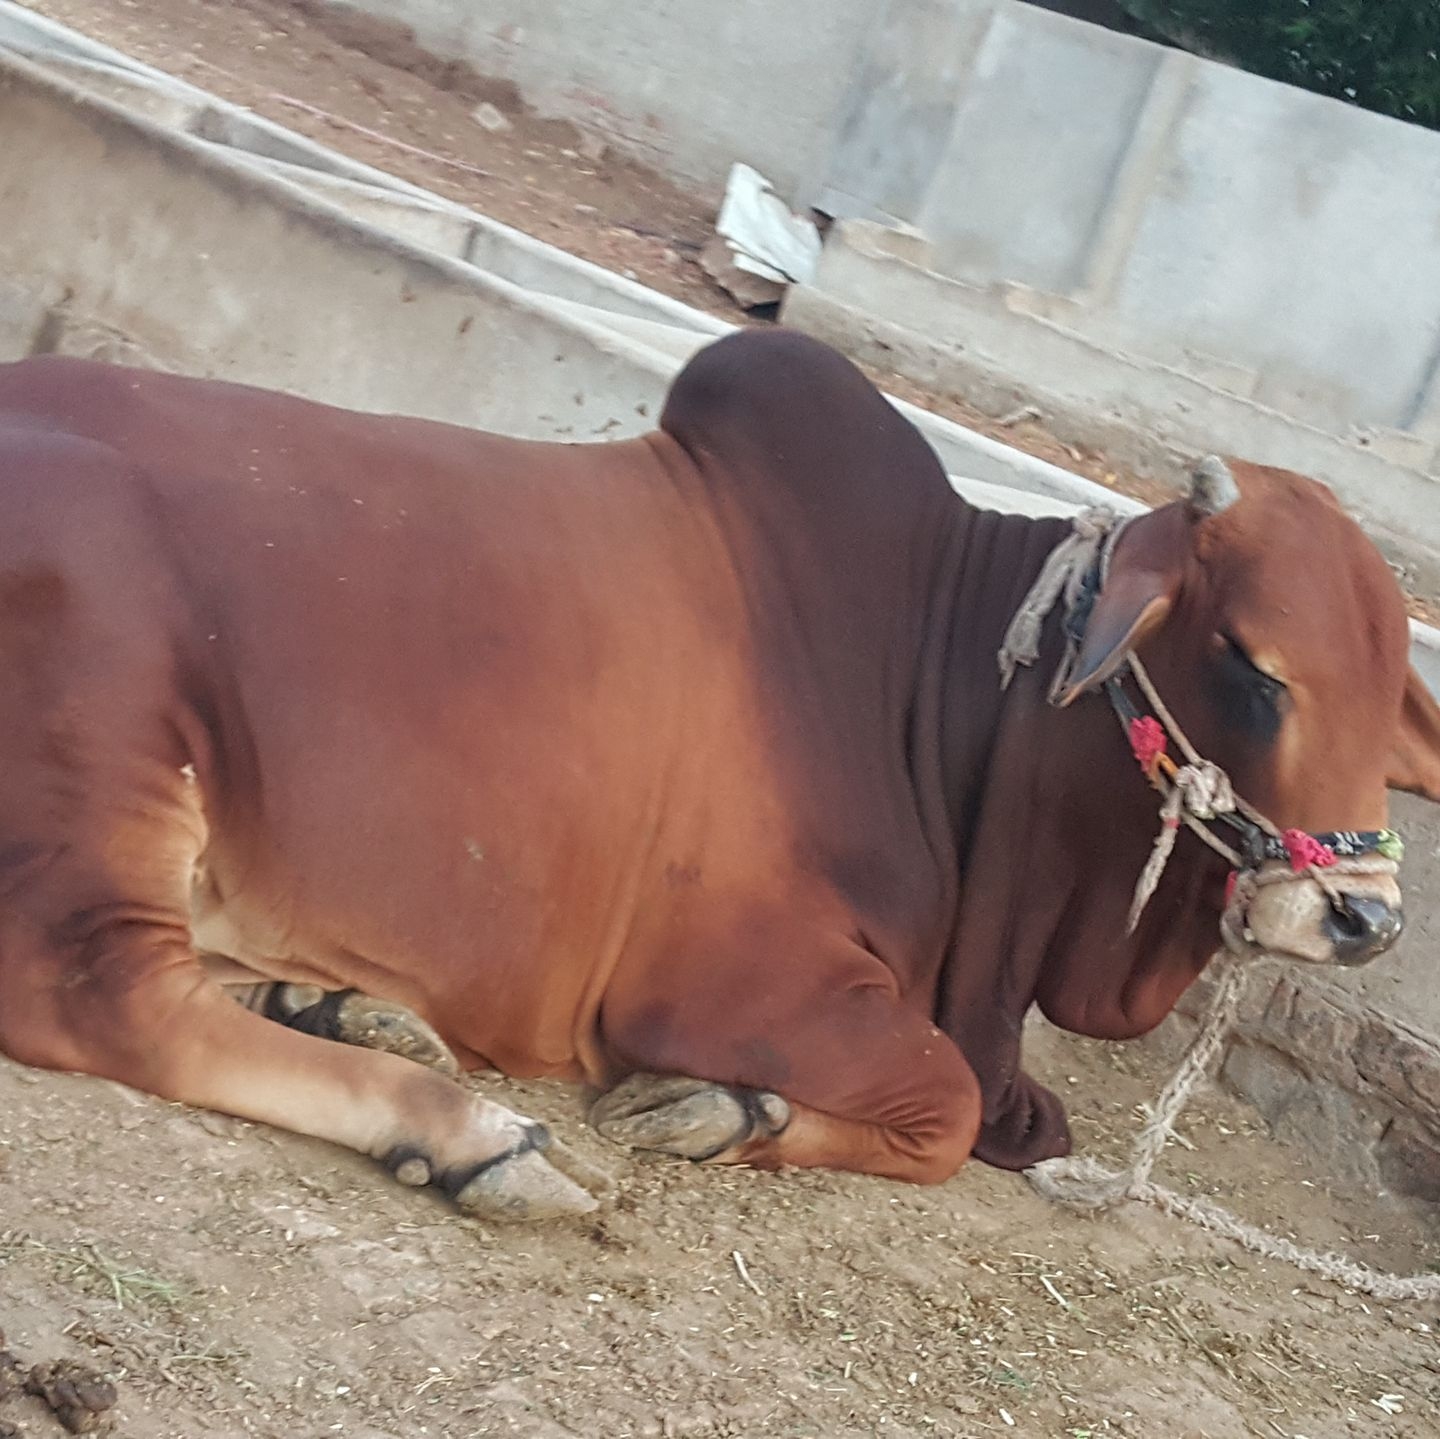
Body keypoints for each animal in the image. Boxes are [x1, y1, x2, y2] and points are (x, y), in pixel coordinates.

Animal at [0, 330, 1434, 1220]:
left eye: (1393, 699)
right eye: (1252, 664)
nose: (1363, 918)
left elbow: (990, 1102)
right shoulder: (717, 978)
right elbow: (950, 1102)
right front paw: (722, 1107)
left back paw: (339, 1001)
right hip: (115, 729)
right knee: (107, 992)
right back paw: (471, 1134)